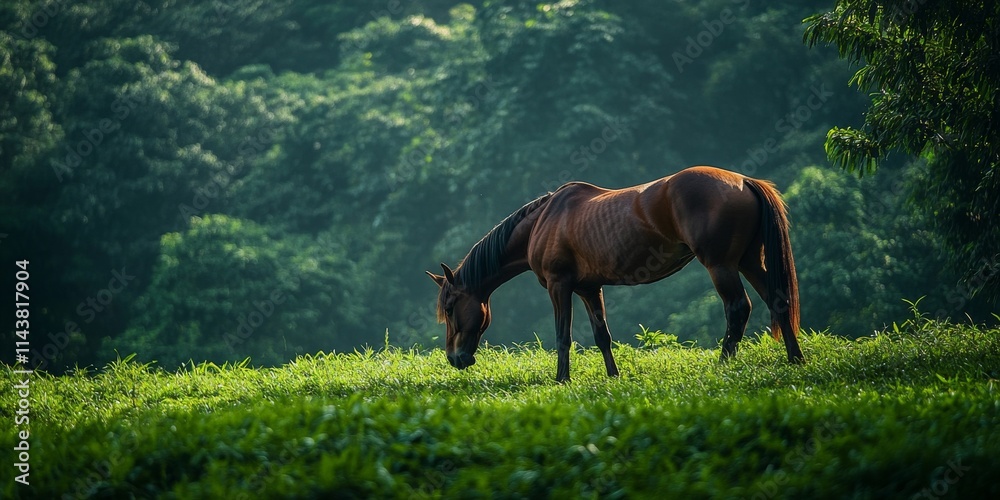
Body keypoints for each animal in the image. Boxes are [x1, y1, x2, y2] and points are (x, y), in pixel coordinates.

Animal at [427, 166, 804, 382]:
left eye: (450, 308)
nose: (455, 359)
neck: (544, 220)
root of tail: (743, 181)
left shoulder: (559, 286)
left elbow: (563, 335)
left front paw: (561, 379)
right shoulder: (589, 288)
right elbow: (602, 336)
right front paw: (613, 376)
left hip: (721, 265)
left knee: (738, 309)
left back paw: (723, 365)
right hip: (749, 261)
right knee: (777, 301)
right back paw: (796, 358)